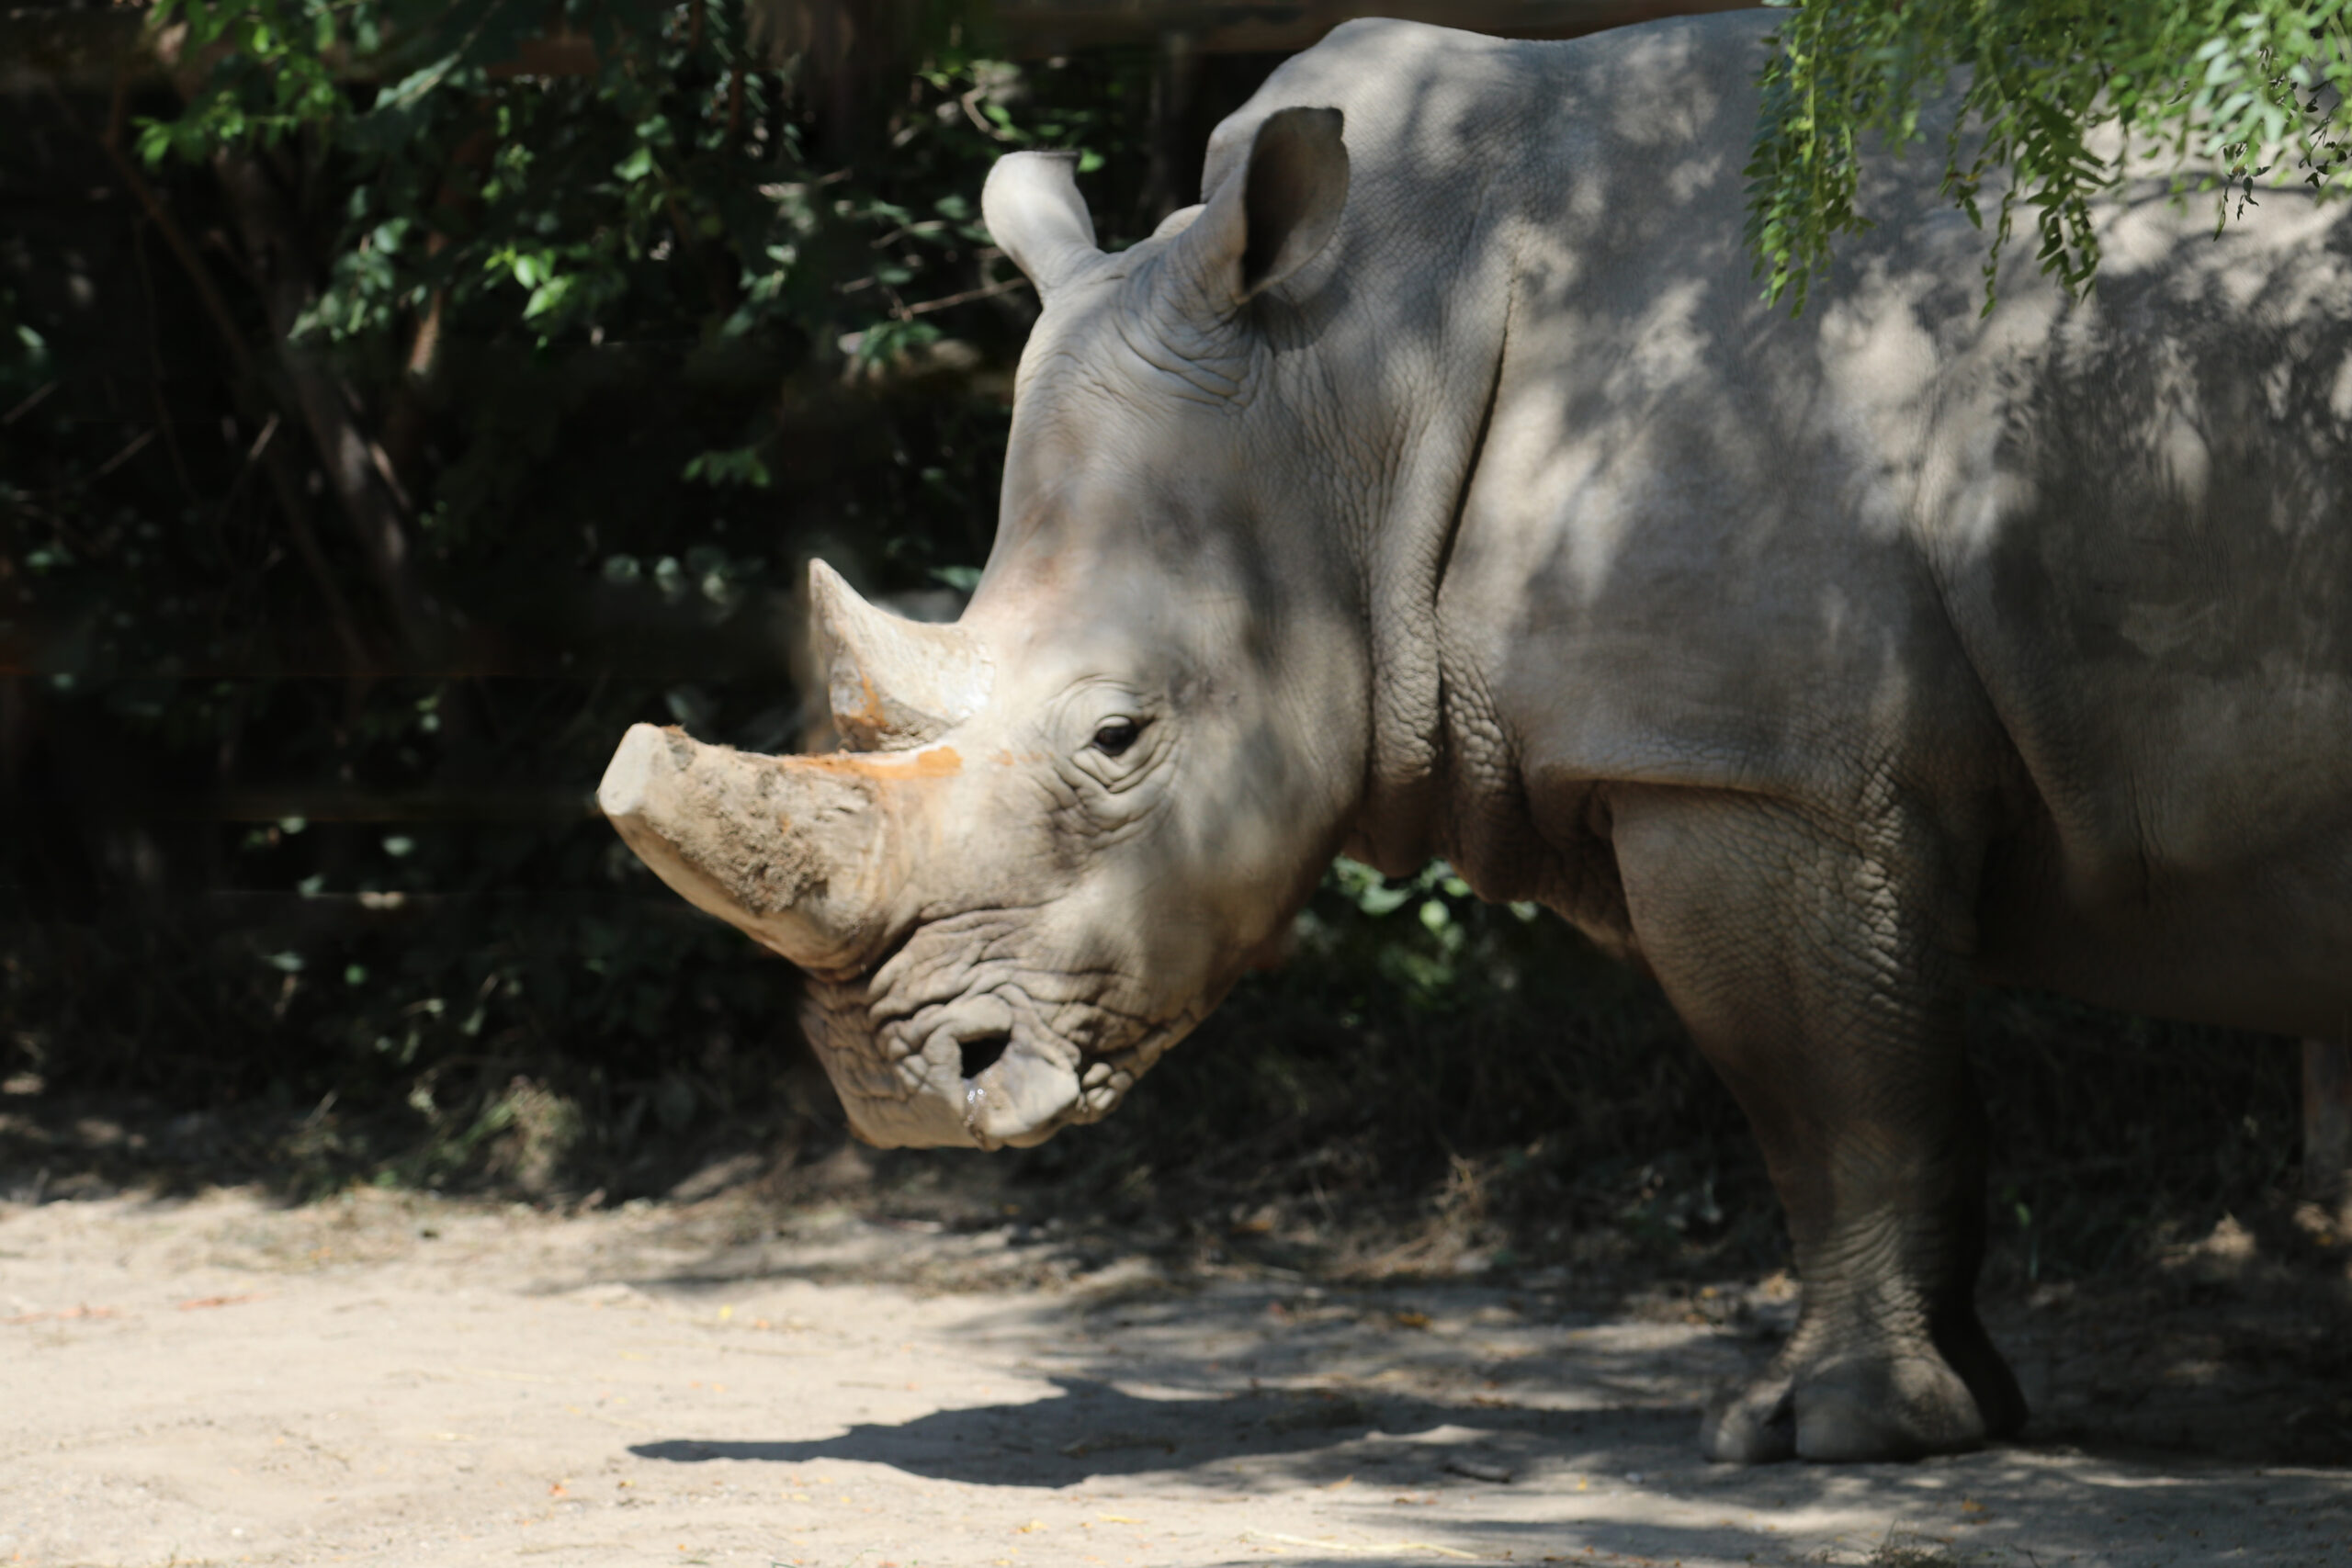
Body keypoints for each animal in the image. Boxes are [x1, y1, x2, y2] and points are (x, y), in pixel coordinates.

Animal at [599, 12, 2352, 1463]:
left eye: (1116, 734)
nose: (899, 1091)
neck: (1359, 373)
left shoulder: (1754, 769)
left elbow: (1836, 1101)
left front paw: (1831, 1434)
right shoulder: (1763, 763)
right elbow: (1861, 1101)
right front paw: (1967, 1409)